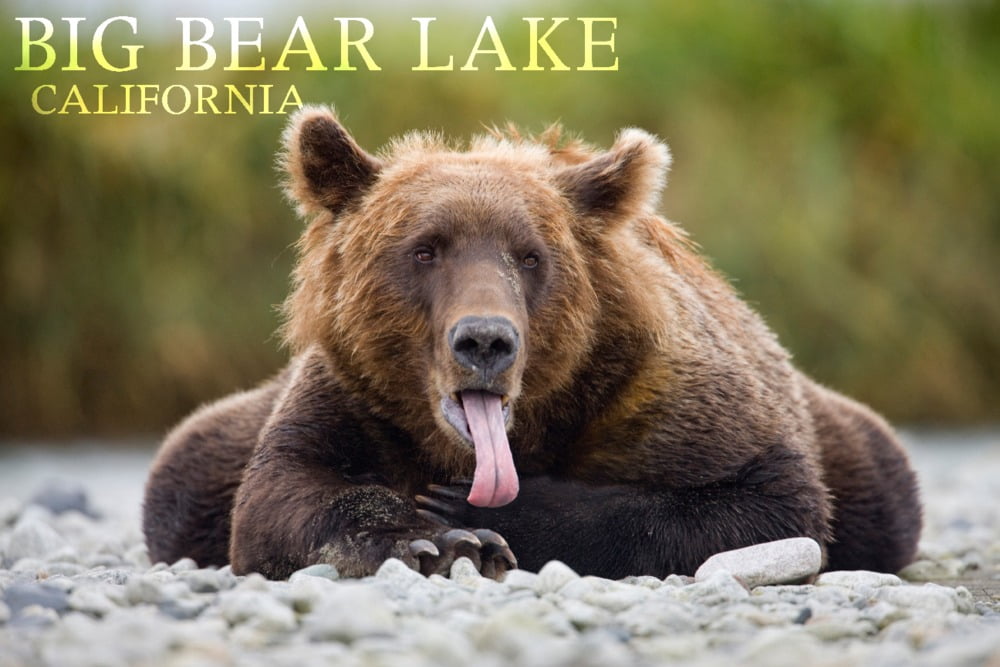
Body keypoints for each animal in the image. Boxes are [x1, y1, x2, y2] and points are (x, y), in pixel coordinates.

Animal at [142, 106, 922, 580]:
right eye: (424, 249)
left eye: (529, 256)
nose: (486, 340)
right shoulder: (353, 395)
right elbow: (284, 492)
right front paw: (430, 537)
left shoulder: (668, 400)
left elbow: (762, 499)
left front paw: (470, 515)